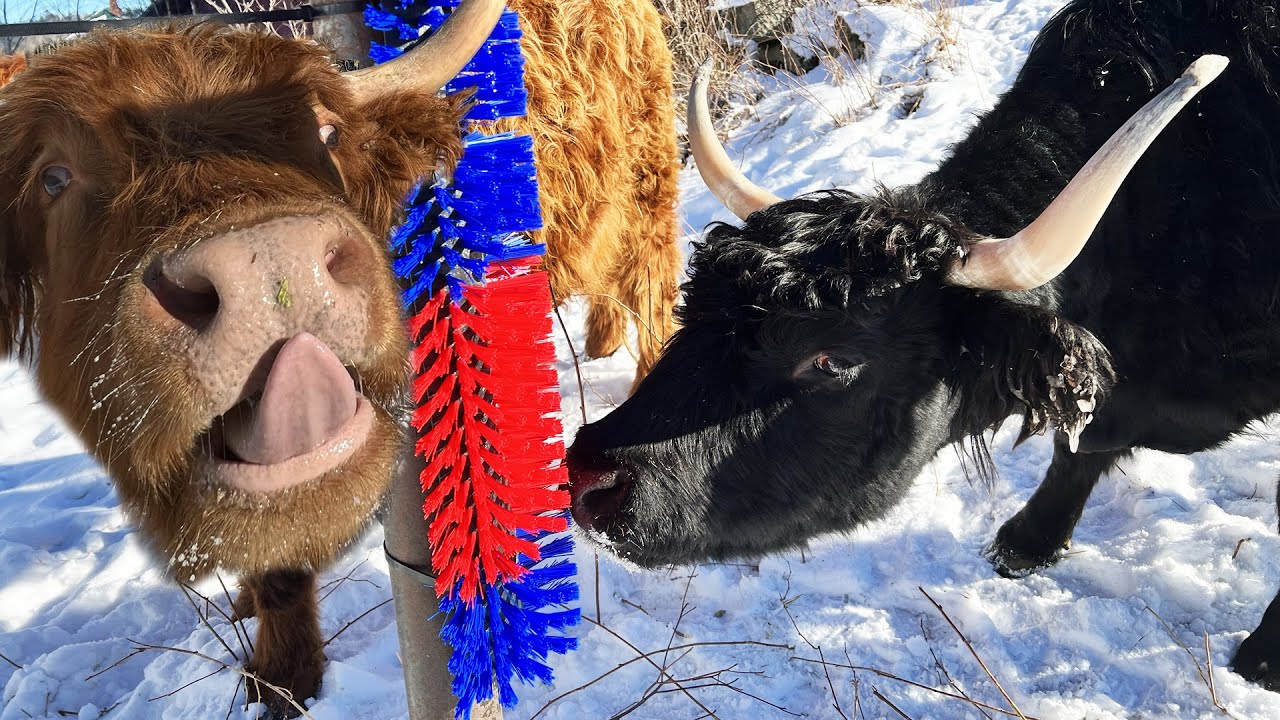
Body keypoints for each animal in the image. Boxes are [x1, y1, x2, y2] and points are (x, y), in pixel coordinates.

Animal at [0, 0, 678, 714]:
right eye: (52, 177)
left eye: (326, 133)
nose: (270, 264)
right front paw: (256, 624)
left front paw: (282, 680)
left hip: (647, 197)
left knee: (653, 292)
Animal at [566, 0, 1280, 693]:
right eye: (693, 310)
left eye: (830, 360)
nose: (589, 475)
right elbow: (1073, 448)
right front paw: (1026, 543)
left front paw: (1264, 658)